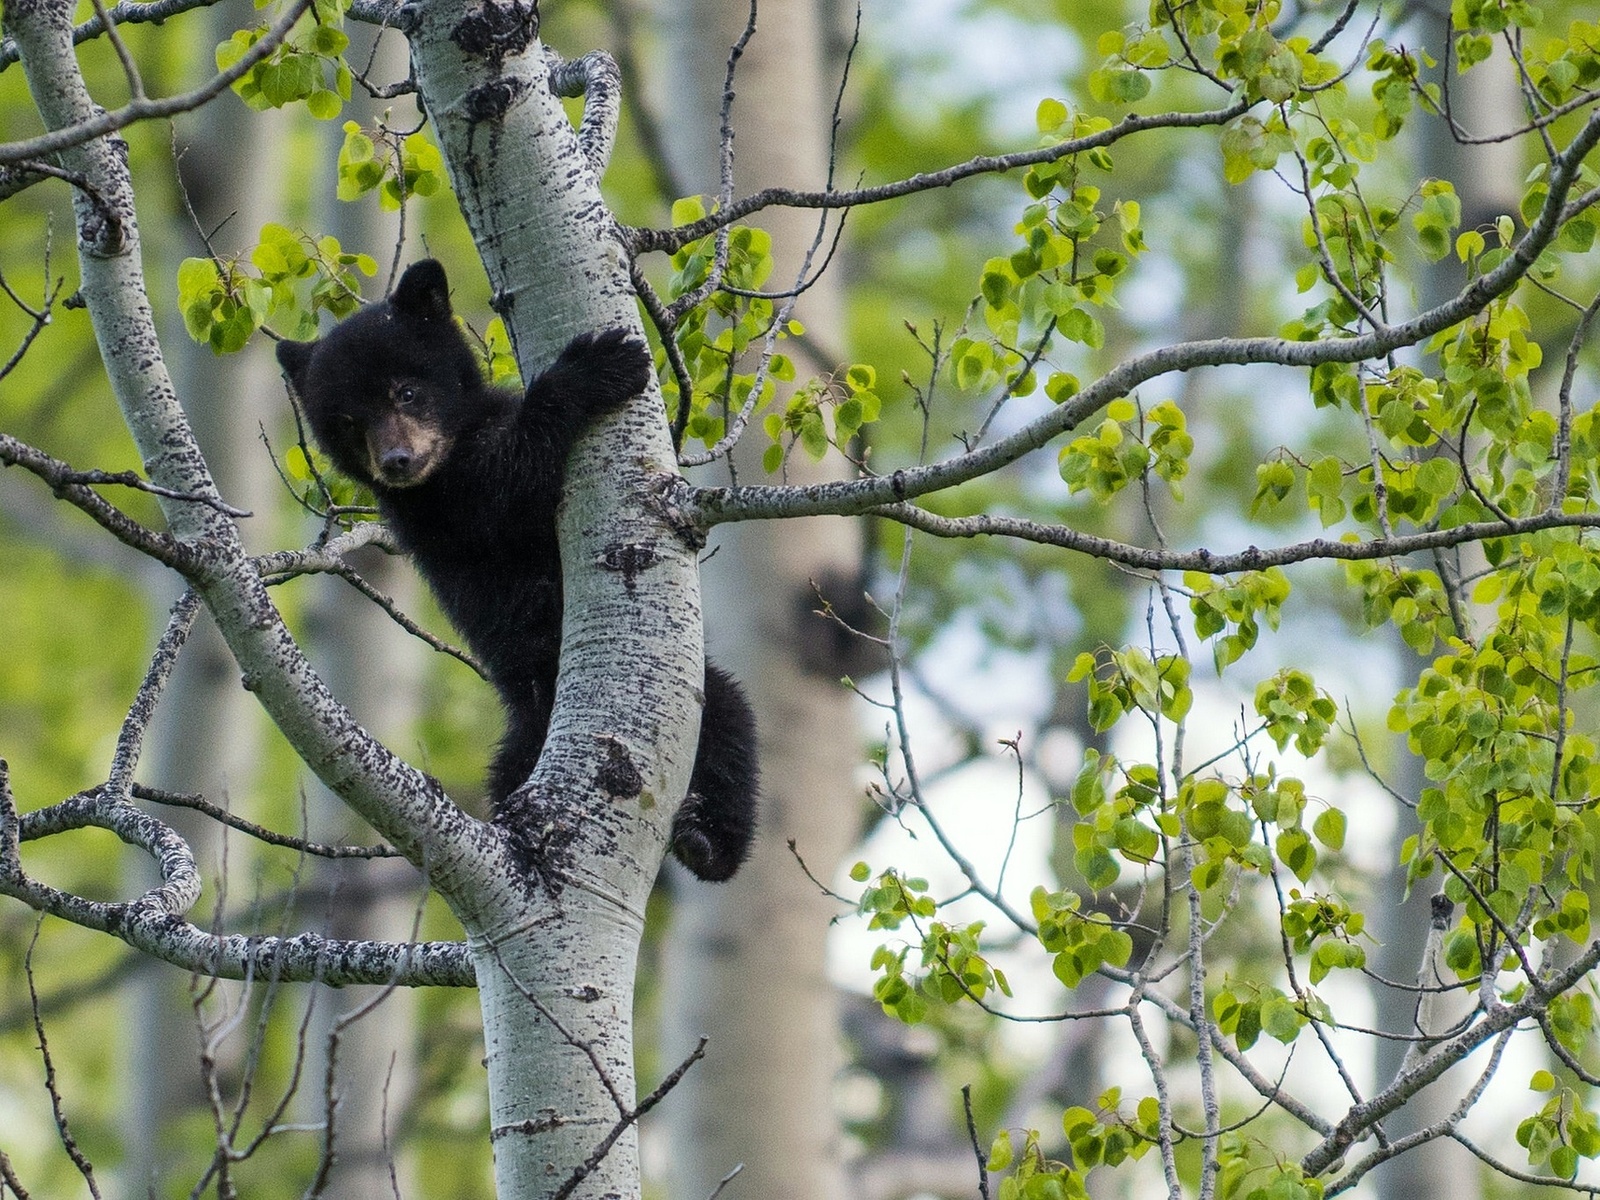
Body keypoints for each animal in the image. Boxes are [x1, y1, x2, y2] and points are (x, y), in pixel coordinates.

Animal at [275, 258, 758, 882]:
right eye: (350, 421)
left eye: (406, 391)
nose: (397, 461)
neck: (454, 447)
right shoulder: (441, 508)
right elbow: (507, 488)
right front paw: (594, 364)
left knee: (731, 736)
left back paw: (707, 840)